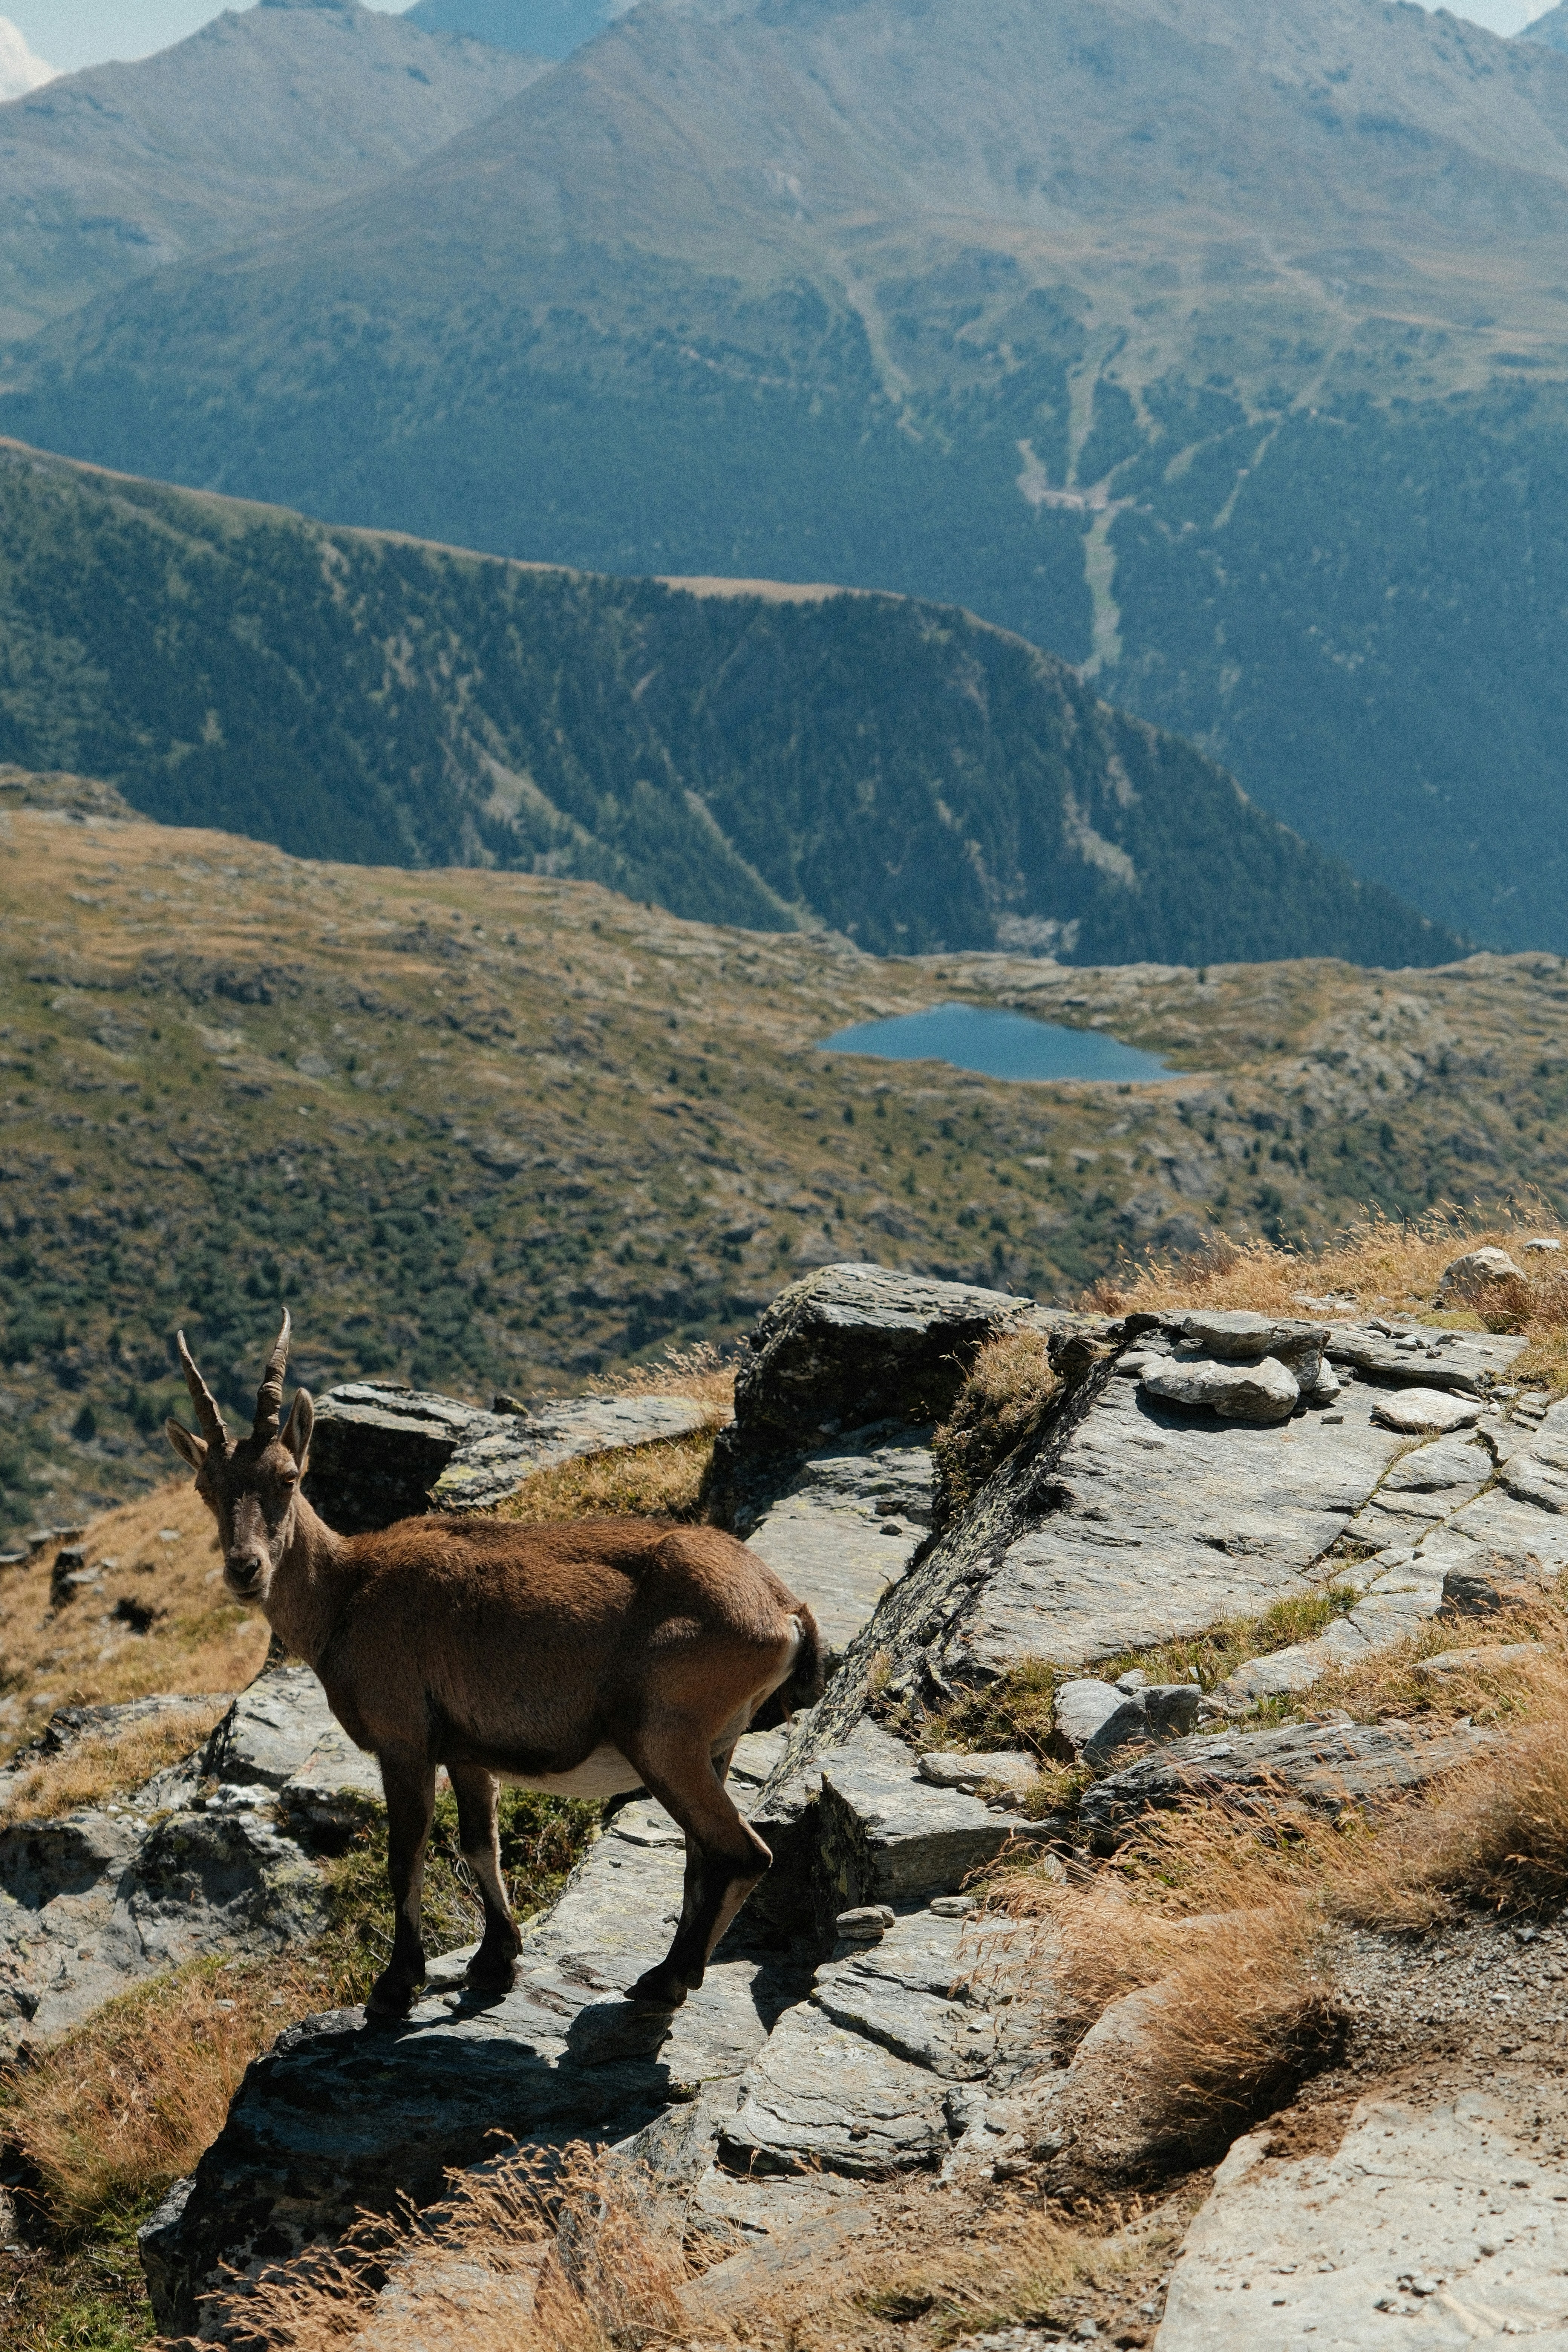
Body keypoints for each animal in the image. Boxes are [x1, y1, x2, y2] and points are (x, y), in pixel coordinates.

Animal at [165, 1315, 822, 2020]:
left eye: (289, 1478)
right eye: (207, 1488)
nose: (245, 1569)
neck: (348, 1592)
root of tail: (784, 1610)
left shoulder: (405, 1739)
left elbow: (406, 1855)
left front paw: (395, 1986)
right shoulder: (468, 1750)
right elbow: (482, 1844)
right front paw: (494, 1961)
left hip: (661, 1735)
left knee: (739, 1854)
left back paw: (665, 1981)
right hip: (716, 1744)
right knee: (703, 1857)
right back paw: (672, 1974)